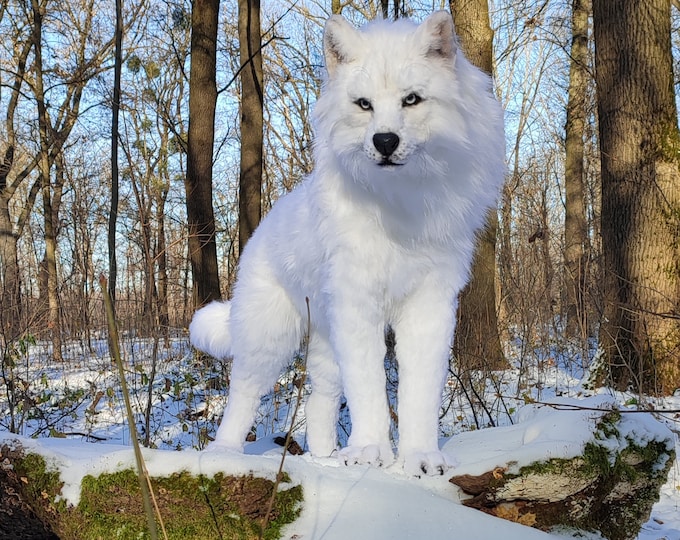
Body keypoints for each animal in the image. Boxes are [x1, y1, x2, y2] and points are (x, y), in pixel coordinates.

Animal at [189, 11, 505, 476]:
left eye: (412, 100)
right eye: (364, 104)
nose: (385, 142)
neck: (398, 203)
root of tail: (260, 231)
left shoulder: (428, 306)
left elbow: (418, 395)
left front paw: (420, 459)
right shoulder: (359, 306)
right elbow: (370, 391)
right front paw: (371, 452)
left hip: (325, 344)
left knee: (318, 405)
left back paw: (325, 461)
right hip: (270, 338)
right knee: (241, 396)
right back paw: (224, 455)